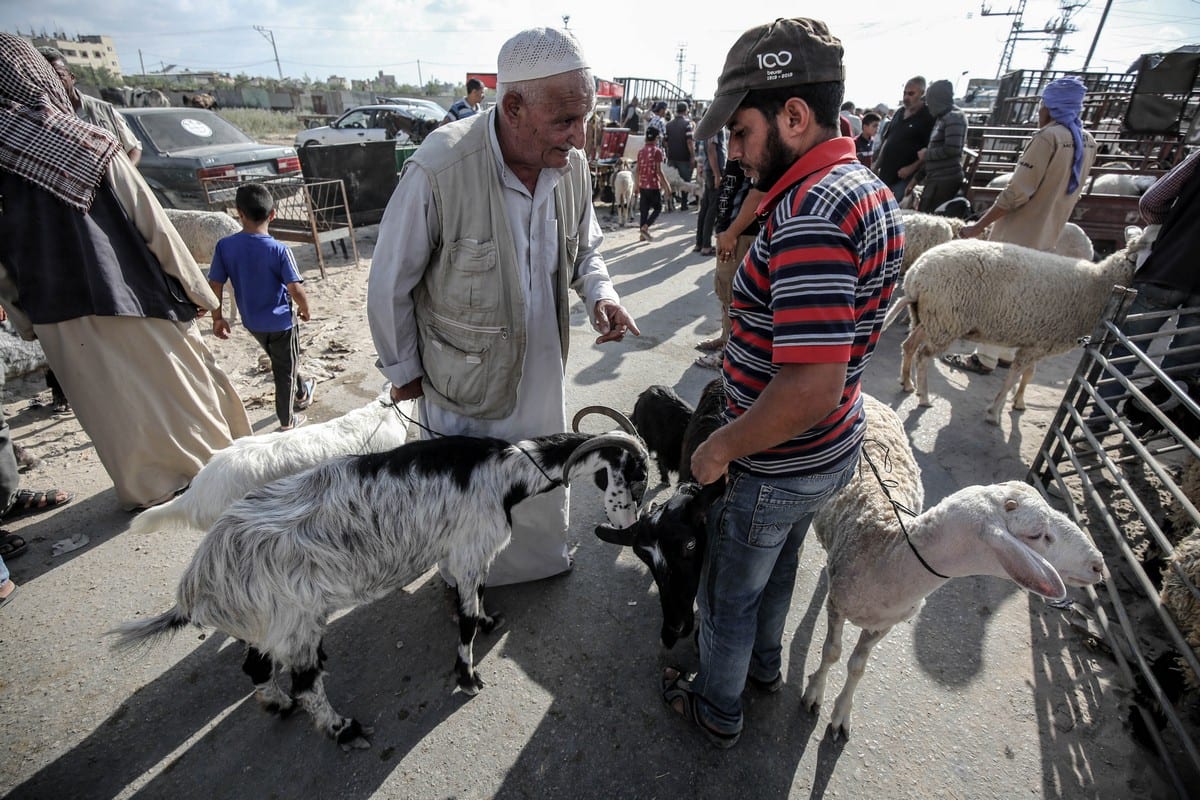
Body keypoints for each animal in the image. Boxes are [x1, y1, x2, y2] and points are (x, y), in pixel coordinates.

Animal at [111, 430, 650, 750]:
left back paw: (277, 704)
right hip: (296, 616)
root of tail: (198, 580)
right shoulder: (468, 550)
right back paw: (343, 729)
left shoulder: (462, 556)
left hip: (269, 619)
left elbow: (473, 603)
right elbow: (465, 618)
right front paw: (468, 676)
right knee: (306, 684)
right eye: (636, 477)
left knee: (257, 667)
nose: (629, 527)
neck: (502, 472)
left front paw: (487, 622)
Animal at [596, 394, 1106, 741]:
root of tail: (866, 399)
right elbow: (832, 652)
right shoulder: (842, 607)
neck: (893, 549)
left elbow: (858, 666)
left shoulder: (885, 624)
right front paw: (814, 695)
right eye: (1038, 535)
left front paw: (840, 715)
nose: (1099, 565)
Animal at [882, 229, 1147, 425]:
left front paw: (1019, 402)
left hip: (932, 318)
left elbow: (1028, 374)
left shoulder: (1040, 341)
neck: (1097, 284)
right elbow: (1013, 376)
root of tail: (916, 274)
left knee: (909, 345)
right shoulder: (1037, 345)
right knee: (923, 355)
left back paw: (907, 383)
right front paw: (994, 413)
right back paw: (924, 396)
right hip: (947, 320)